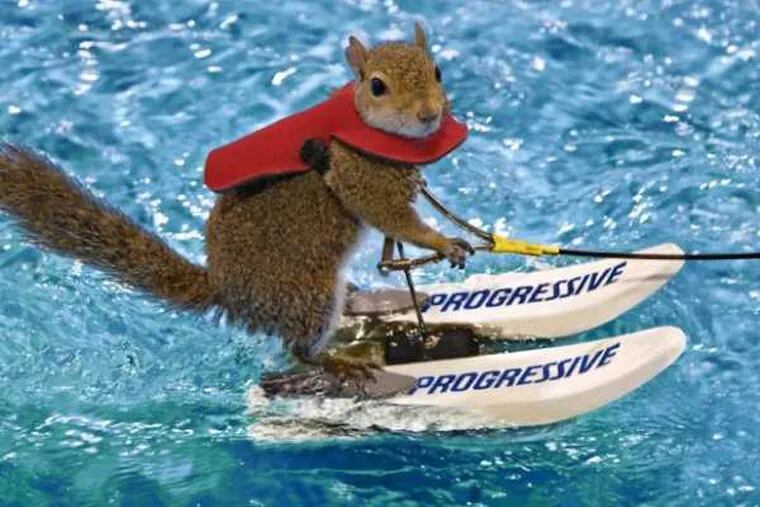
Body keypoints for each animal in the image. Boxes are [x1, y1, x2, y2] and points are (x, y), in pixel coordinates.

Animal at [0, 24, 472, 381]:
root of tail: (230, 294)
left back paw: (366, 299)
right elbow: (393, 218)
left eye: (438, 71)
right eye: (377, 86)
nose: (429, 115)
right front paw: (444, 242)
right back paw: (338, 364)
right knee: (301, 349)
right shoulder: (360, 176)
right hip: (308, 296)